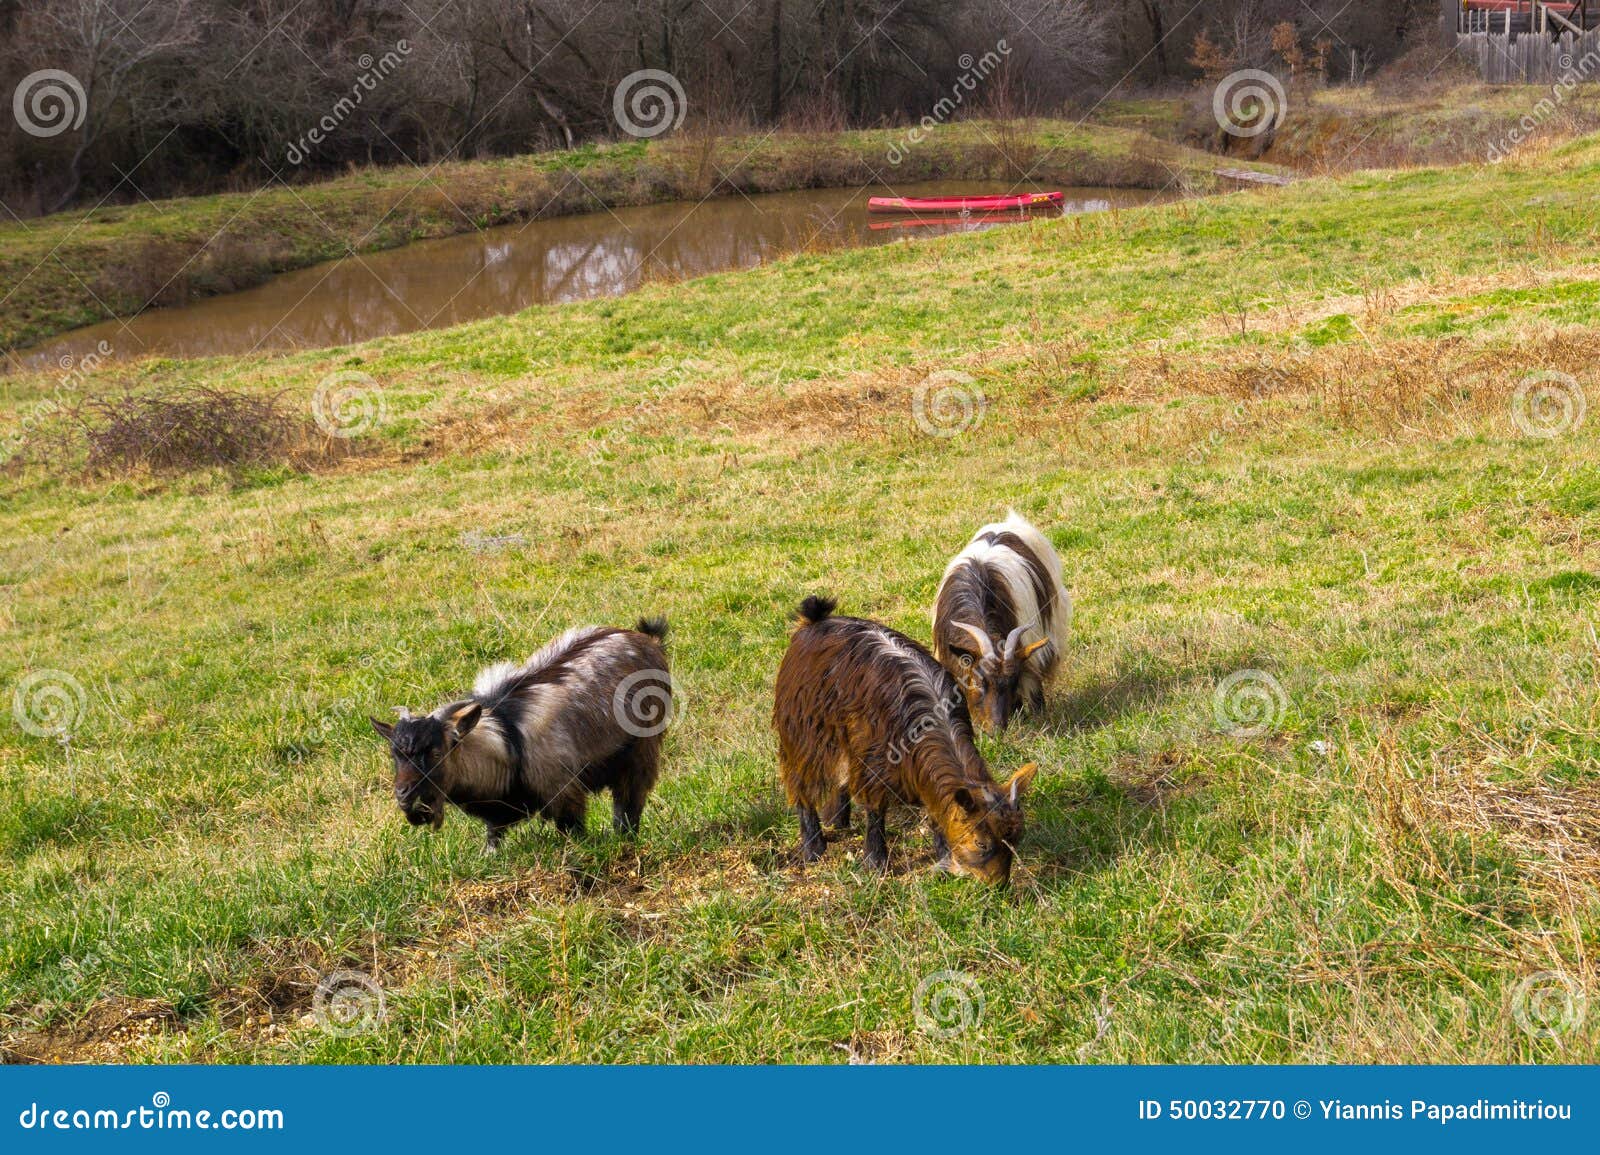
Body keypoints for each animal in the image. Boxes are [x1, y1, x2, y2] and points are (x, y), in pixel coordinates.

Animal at [370, 617, 670, 849]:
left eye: (435, 752)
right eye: (395, 756)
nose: (404, 794)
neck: (506, 738)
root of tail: (648, 639)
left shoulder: (565, 794)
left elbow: (574, 832)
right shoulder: (498, 813)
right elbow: (493, 839)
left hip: (641, 752)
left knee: (629, 803)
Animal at [773, 596, 1036, 885]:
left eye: (1016, 839)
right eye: (981, 843)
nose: (999, 886)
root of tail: (815, 621)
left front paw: (943, 859)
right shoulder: (874, 761)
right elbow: (875, 810)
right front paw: (876, 862)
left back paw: (837, 821)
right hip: (802, 731)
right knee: (799, 781)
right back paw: (814, 847)